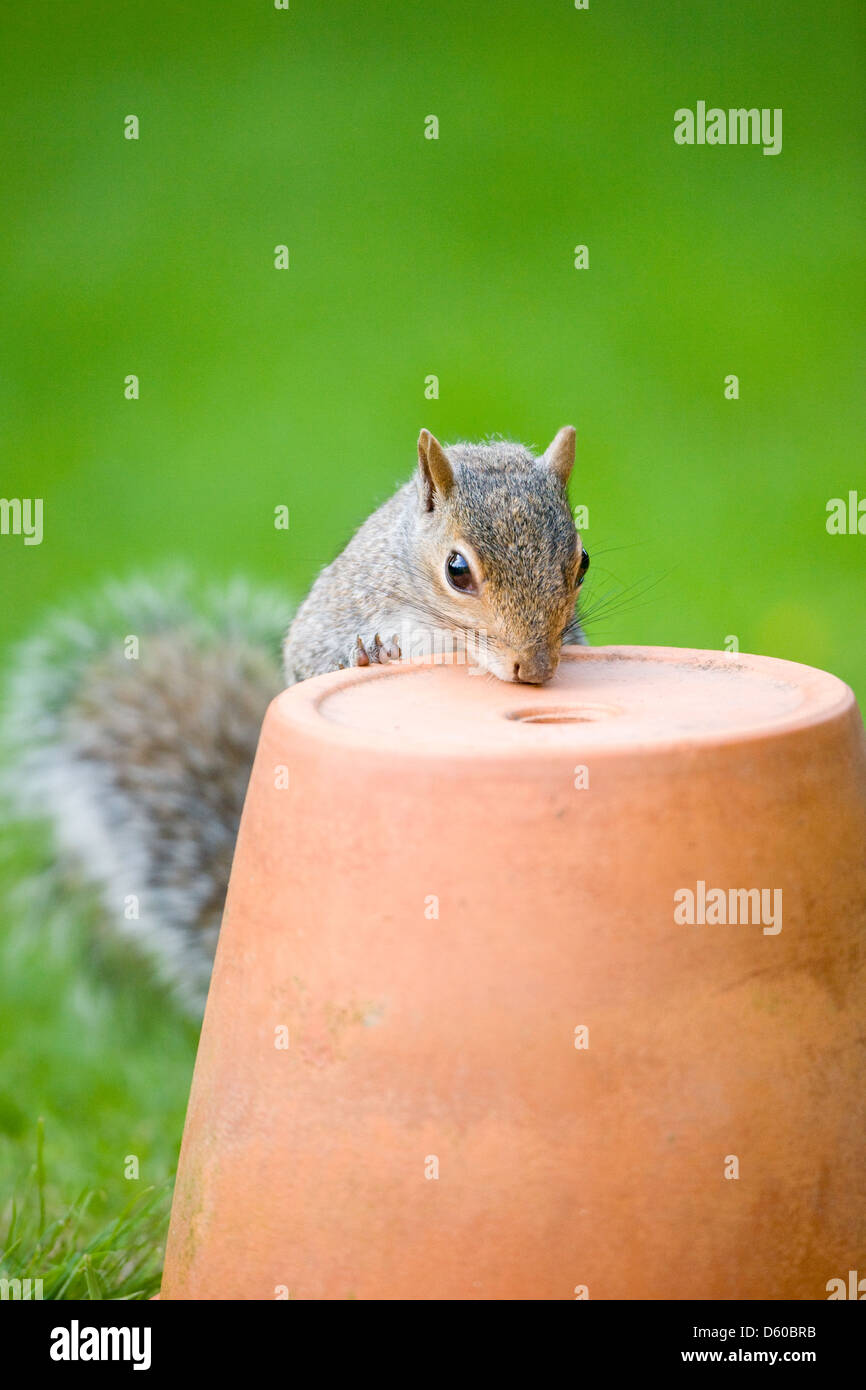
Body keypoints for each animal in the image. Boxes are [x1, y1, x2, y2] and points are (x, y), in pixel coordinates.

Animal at [2, 428, 589, 1013]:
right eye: (457, 569)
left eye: (582, 562)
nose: (535, 668)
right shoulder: (334, 615)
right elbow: (311, 662)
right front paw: (367, 656)